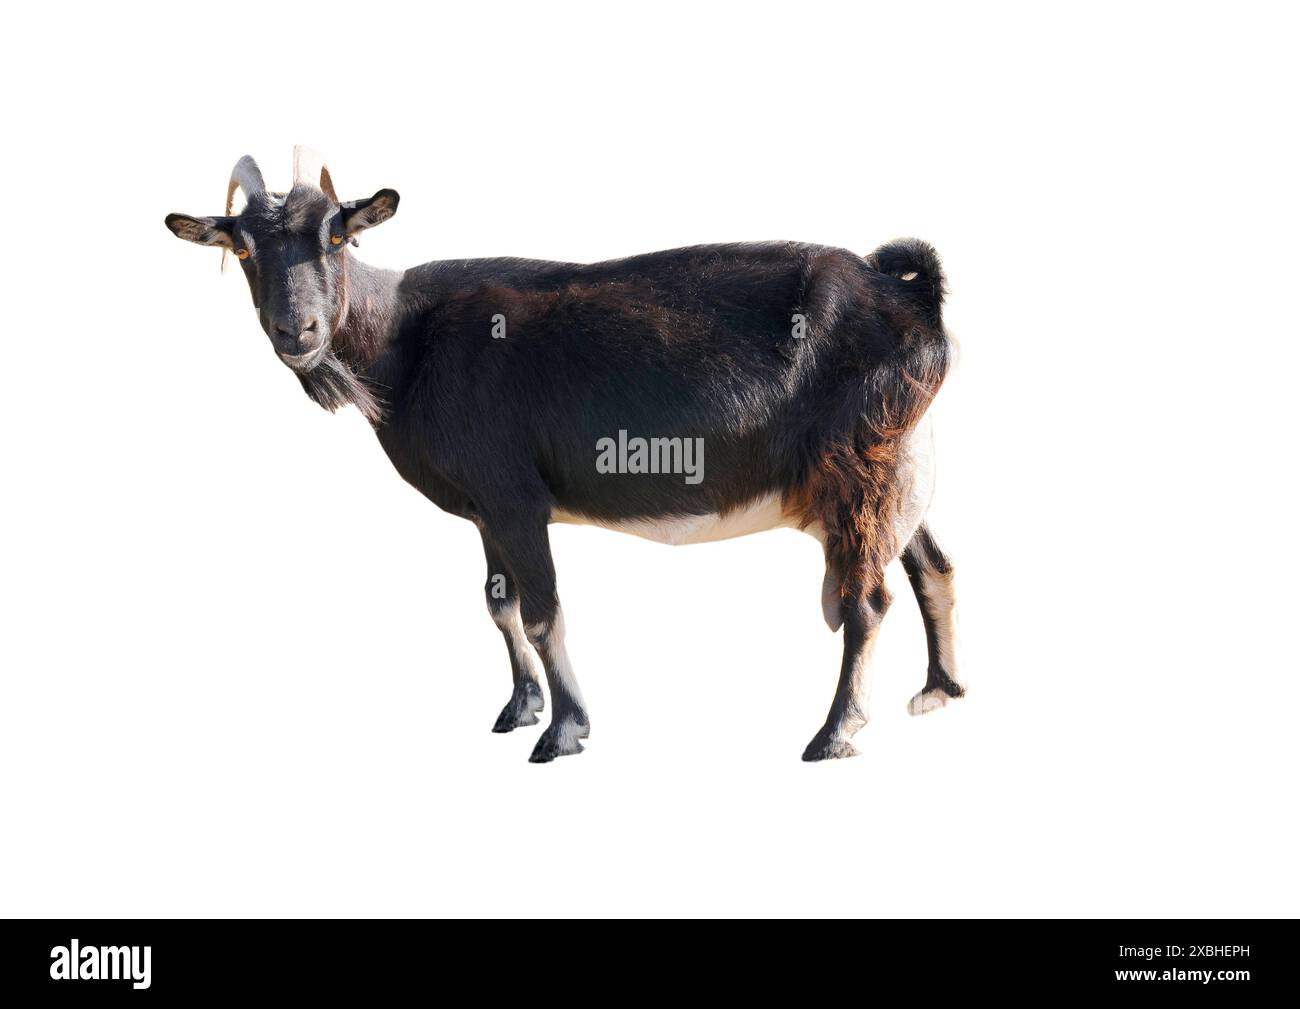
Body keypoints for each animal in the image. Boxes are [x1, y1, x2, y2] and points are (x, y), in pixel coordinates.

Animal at [164, 148, 965, 762]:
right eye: (243, 247)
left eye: (336, 239)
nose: (296, 329)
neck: (404, 338)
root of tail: (905, 297)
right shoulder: (485, 509)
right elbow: (500, 604)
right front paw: (518, 707)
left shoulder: (516, 497)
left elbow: (545, 610)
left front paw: (563, 731)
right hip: (897, 464)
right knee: (932, 565)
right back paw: (939, 690)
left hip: (858, 466)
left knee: (866, 599)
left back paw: (834, 734)